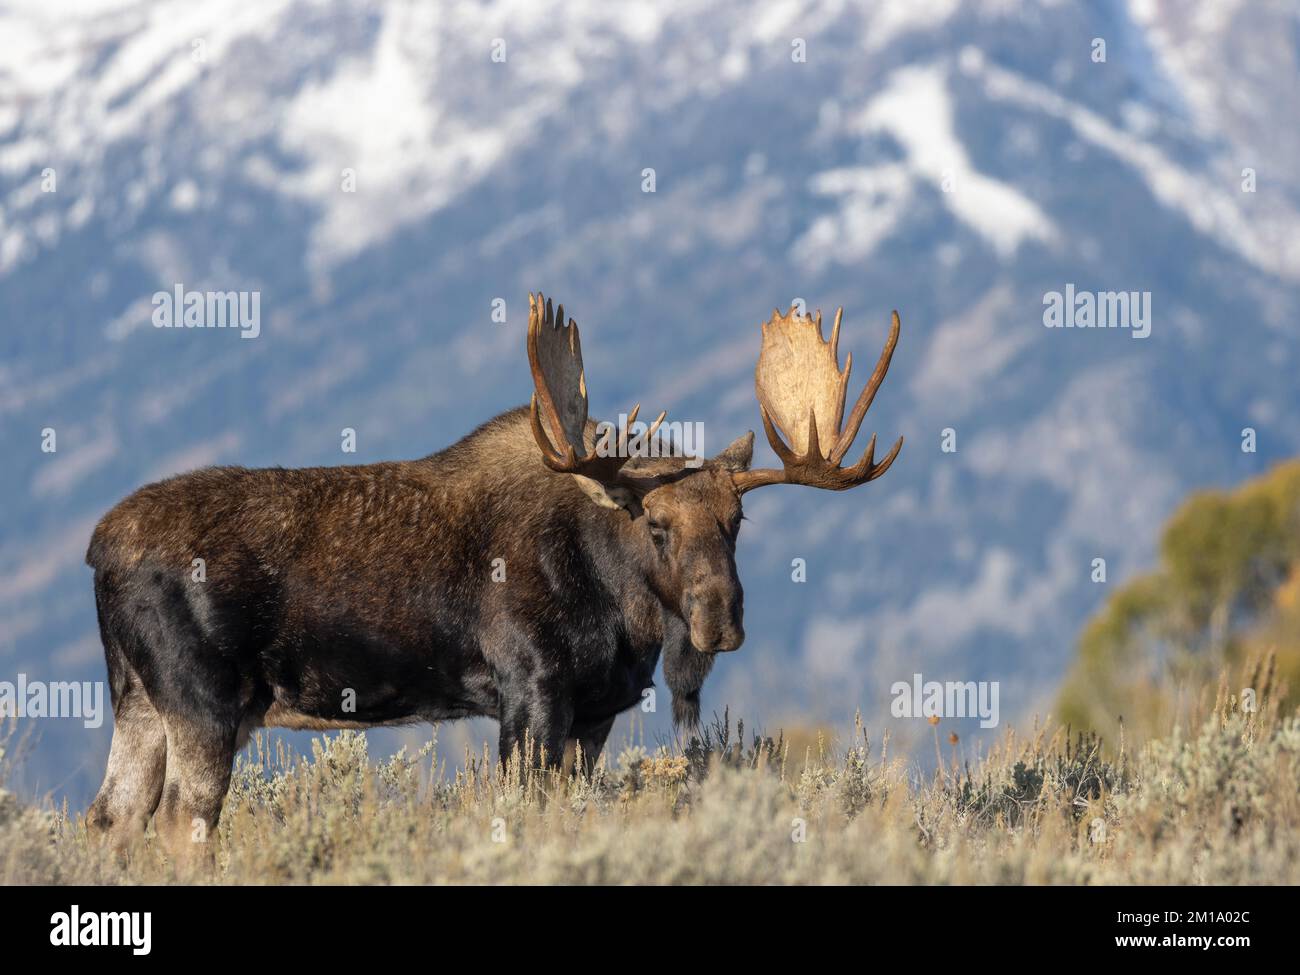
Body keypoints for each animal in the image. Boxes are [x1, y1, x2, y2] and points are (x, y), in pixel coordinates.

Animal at [84, 294, 903, 860]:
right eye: (656, 525)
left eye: (738, 521)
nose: (720, 619)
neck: (623, 613)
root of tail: (96, 549)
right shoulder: (531, 688)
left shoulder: (595, 711)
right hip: (202, 700)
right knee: (179, 823)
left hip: (139, 700)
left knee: (112, 817)